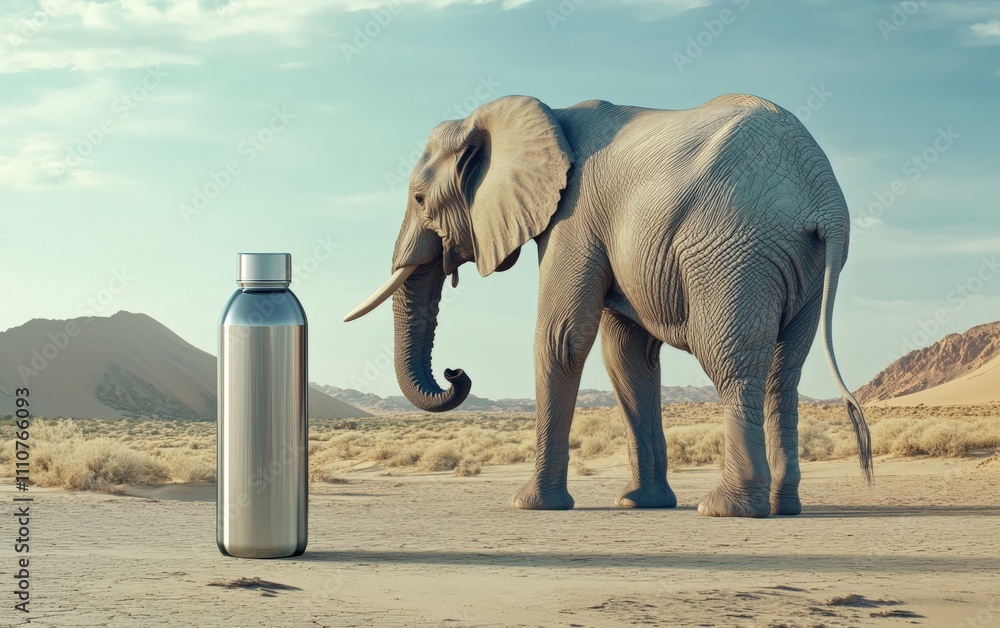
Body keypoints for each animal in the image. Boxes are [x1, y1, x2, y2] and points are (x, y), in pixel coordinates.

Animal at [344, 93, 872, 518]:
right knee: (784, 373)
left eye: (419, 198)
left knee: (732, 362)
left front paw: (530, 505)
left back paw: (726, 509)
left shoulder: (572, 214)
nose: (456, 372)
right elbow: (626, 355)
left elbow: (561, 338)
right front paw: (640, 503)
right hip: (803, 265)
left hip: (733, 249)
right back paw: (784, 507)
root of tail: (824, 198)